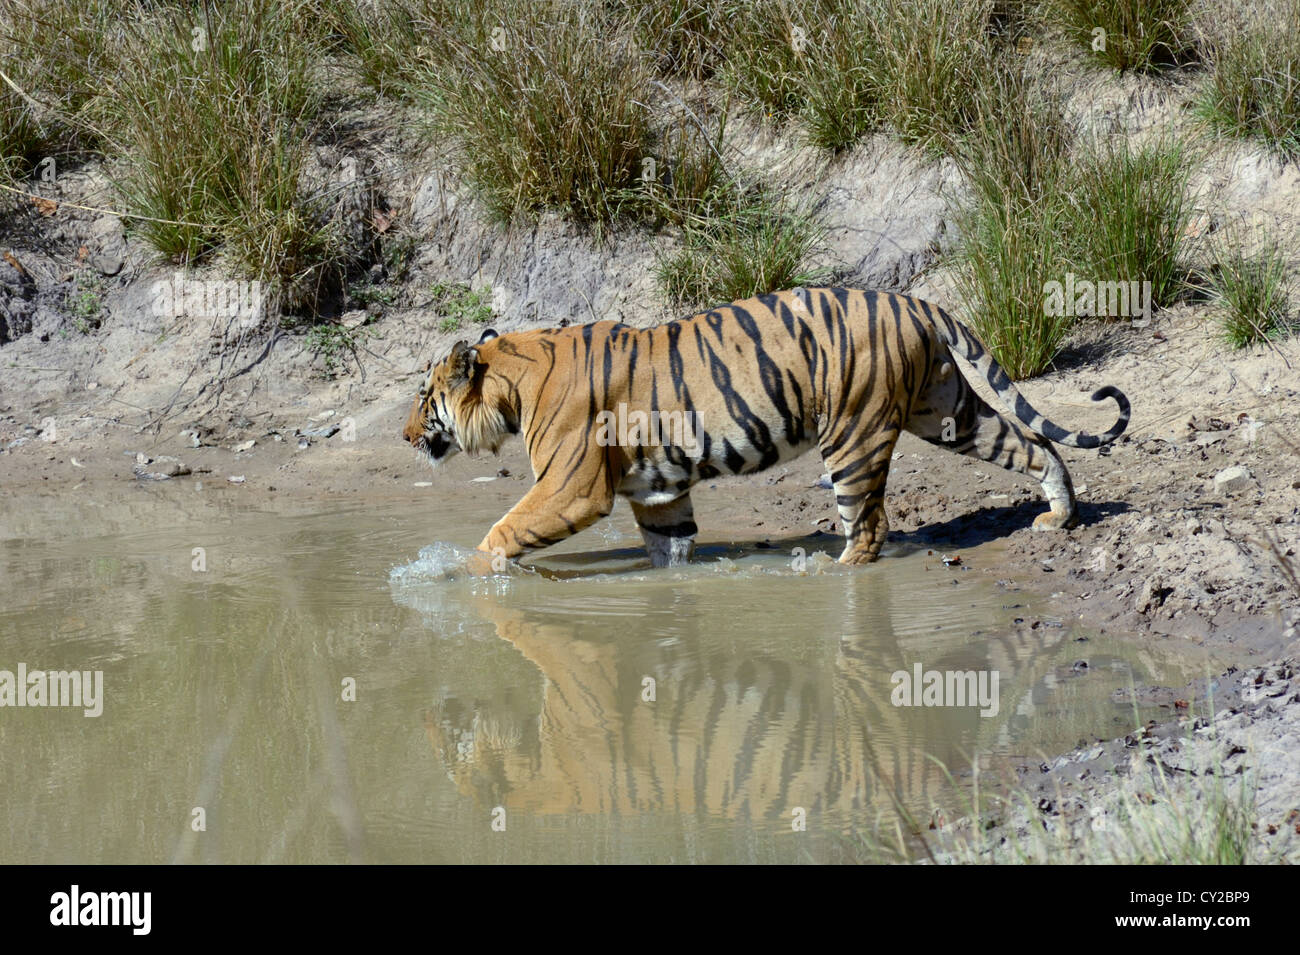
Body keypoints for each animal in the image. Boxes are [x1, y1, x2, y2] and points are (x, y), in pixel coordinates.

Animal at [401, 287, 1130, 568]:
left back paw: (830, 574)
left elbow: (502, 531)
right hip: (947, 410)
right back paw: (1057, 517)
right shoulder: (660, 496)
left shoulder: (571, 488)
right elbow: (669, 551)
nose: (404, 436)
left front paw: (462, 576)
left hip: (854, 435)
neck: (513, 383)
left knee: (868, 528)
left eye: (422, 395)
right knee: (1032, 444)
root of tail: (912, 297)